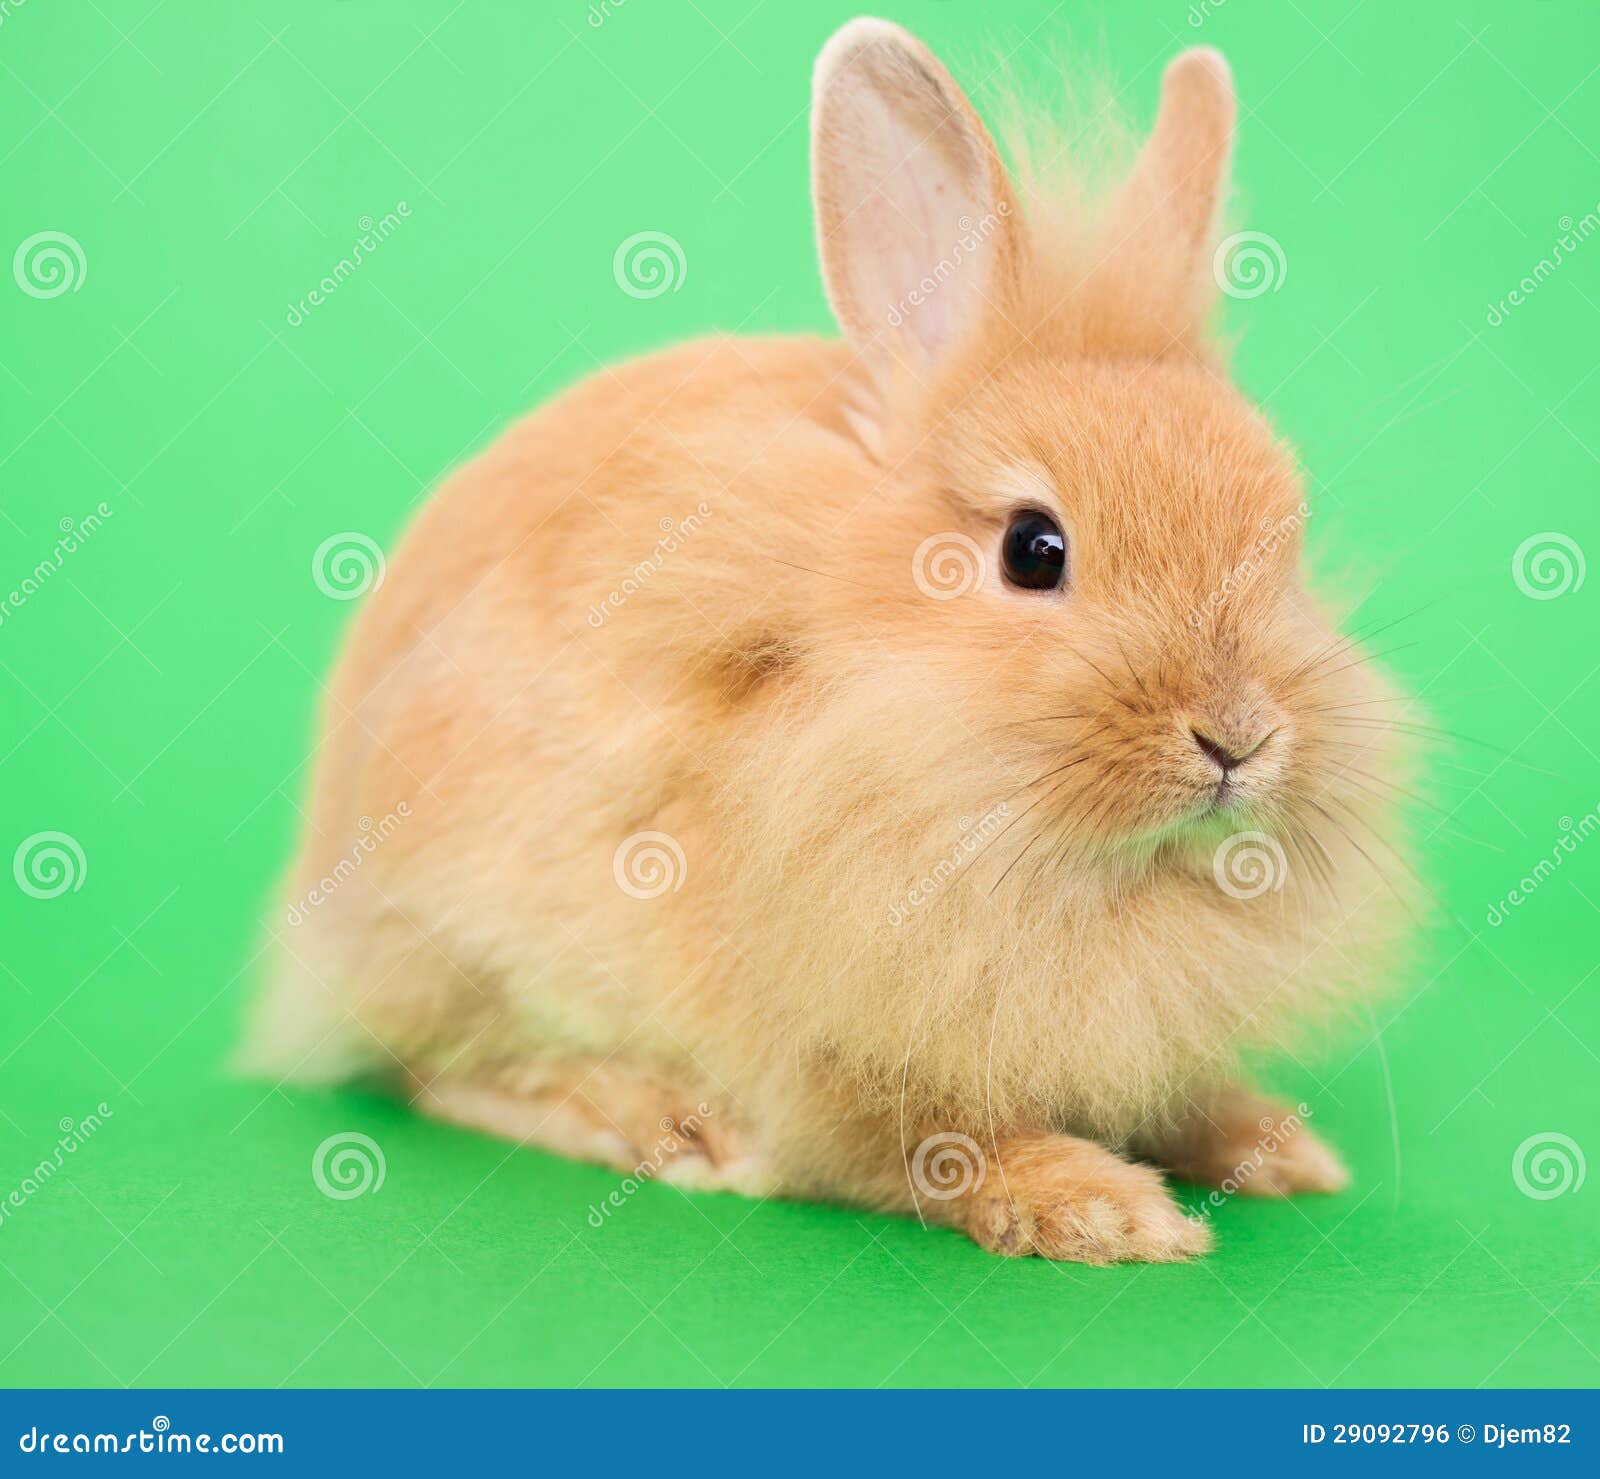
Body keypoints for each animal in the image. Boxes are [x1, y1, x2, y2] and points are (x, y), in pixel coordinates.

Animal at [244, 17, 1414, 1263]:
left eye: (1287, 538)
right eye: (1033, 550)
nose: (1237, 738)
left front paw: (1273, 1148)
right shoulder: (834, 1054)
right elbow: (925, 1148)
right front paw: (1103, 1210)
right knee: (440, 1072)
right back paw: (654, 1118)